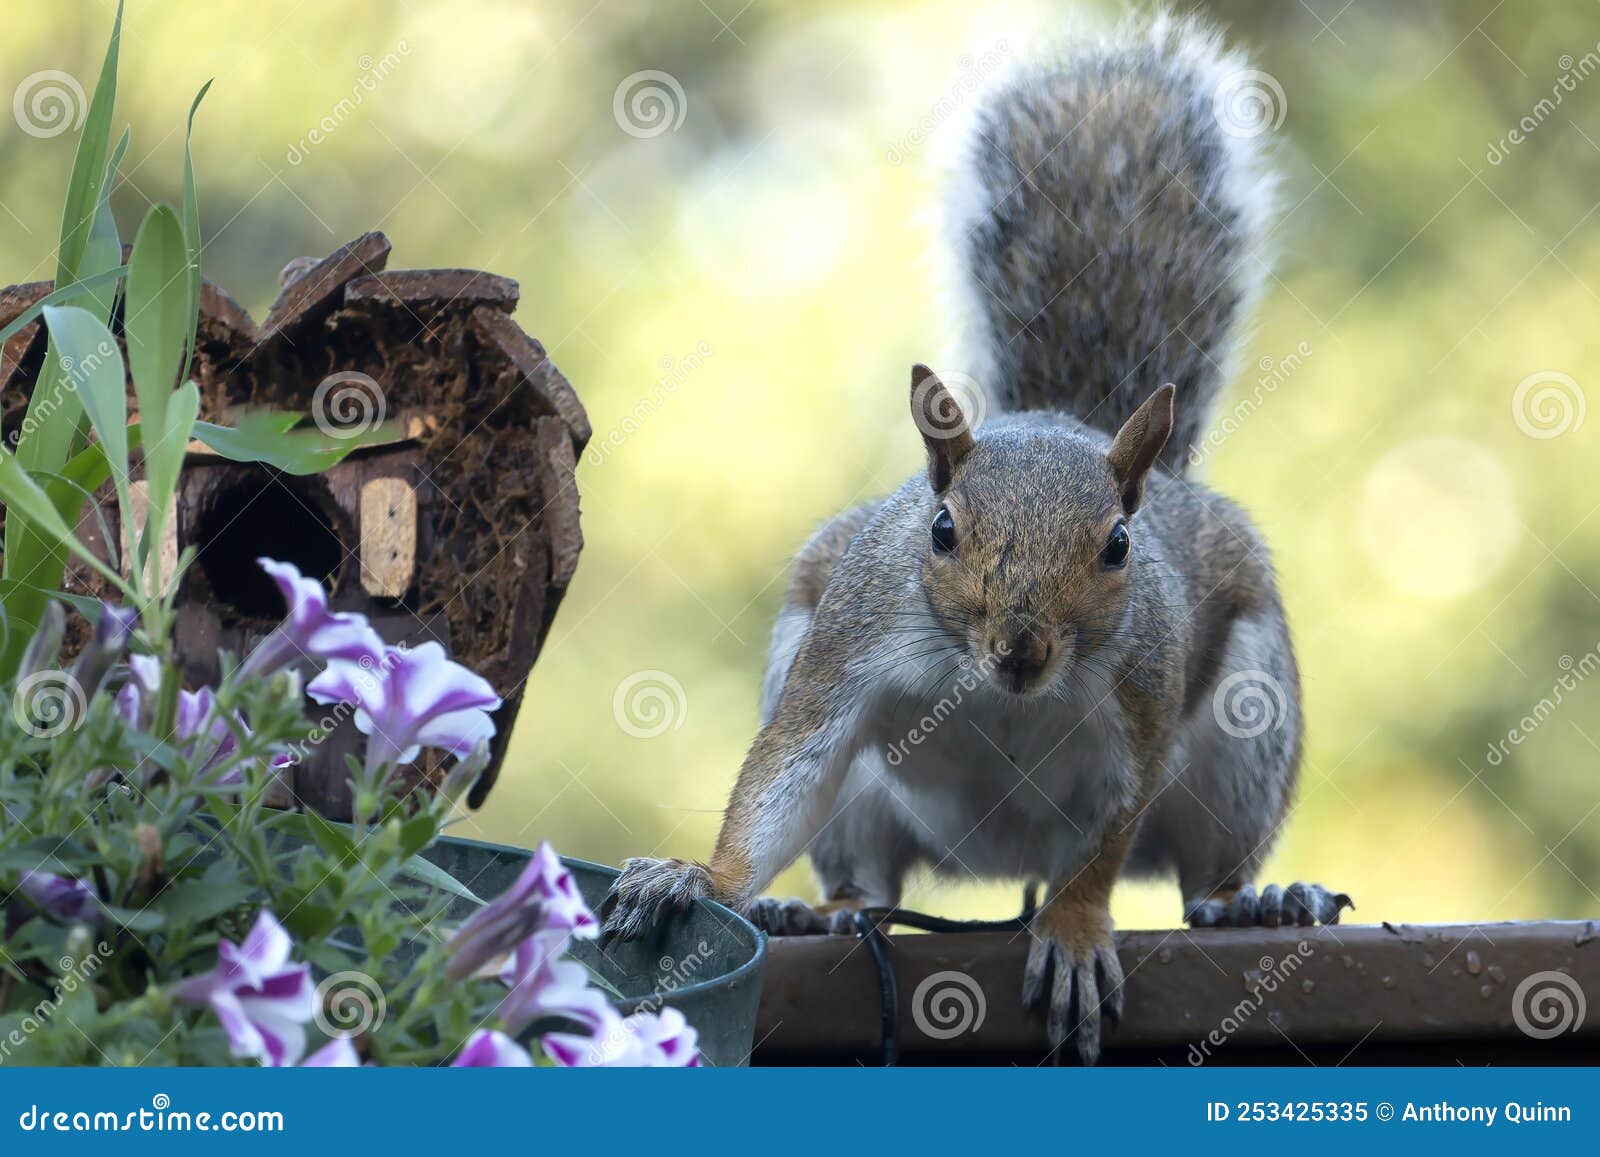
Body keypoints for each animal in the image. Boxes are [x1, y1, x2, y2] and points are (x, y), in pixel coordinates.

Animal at [600, 12, 1351, 1065]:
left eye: (1120, 546)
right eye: (942, 528)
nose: (1021, 648)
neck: (996, 689)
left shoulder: (1142, 705)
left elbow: (1105, 846)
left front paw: (1072, 933)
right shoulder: (845, 650)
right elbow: (784, 773)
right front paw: (697, 879)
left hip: (1248, 726)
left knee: (1202, 878)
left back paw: (1254, 900)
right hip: (856, 788)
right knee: (866, 875)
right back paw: (817, 911)